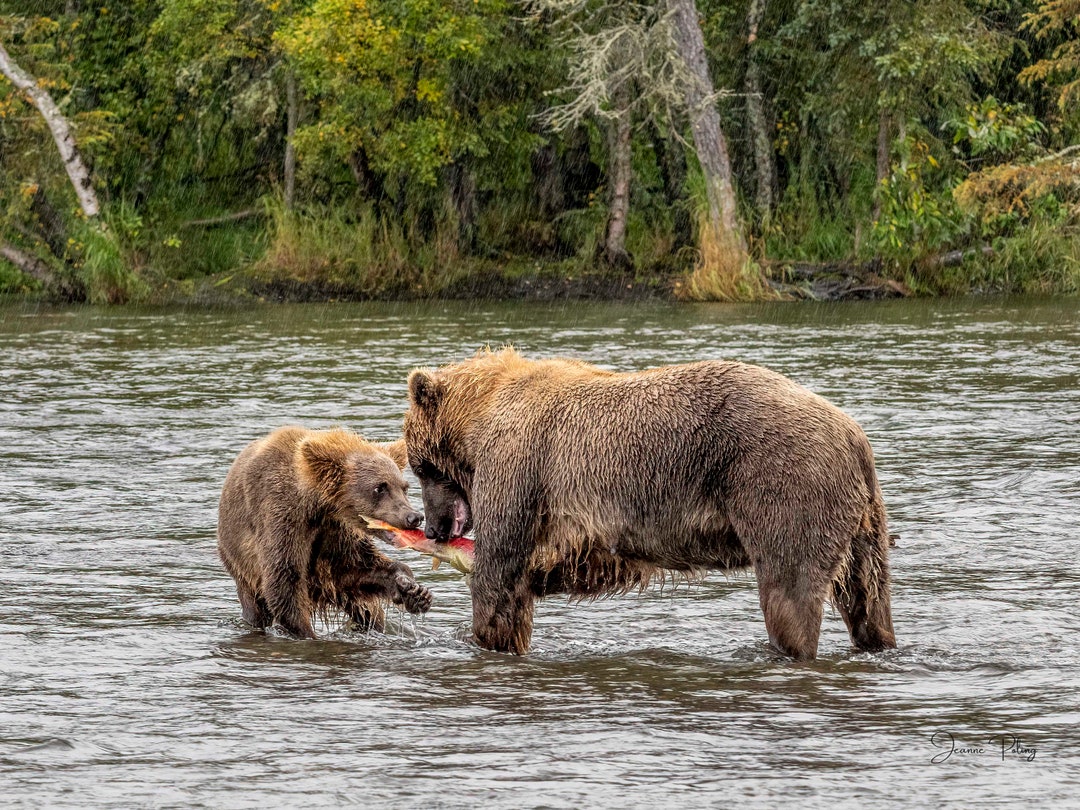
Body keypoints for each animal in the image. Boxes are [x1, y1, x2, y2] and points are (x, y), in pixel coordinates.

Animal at [217, 426, 433, 638]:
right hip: (241, 566)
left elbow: (358, 567)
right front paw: (306, 632)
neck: (318, 506)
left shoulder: (336, 532)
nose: (414, 517)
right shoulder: (282, 517)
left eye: (404, 487)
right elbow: (284, 580)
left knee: (368, 611)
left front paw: (414, 591)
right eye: (380, 488)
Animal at [402, 347, 896, 660]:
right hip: (862, 518)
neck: (479, 419)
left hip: (783, 484)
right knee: (867, 598)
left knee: (789, 589)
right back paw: (878, 640)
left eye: (420, 466)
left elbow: (500, 571)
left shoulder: (520, 465)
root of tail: (854, 435)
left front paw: (486, 636)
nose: (432, 527)